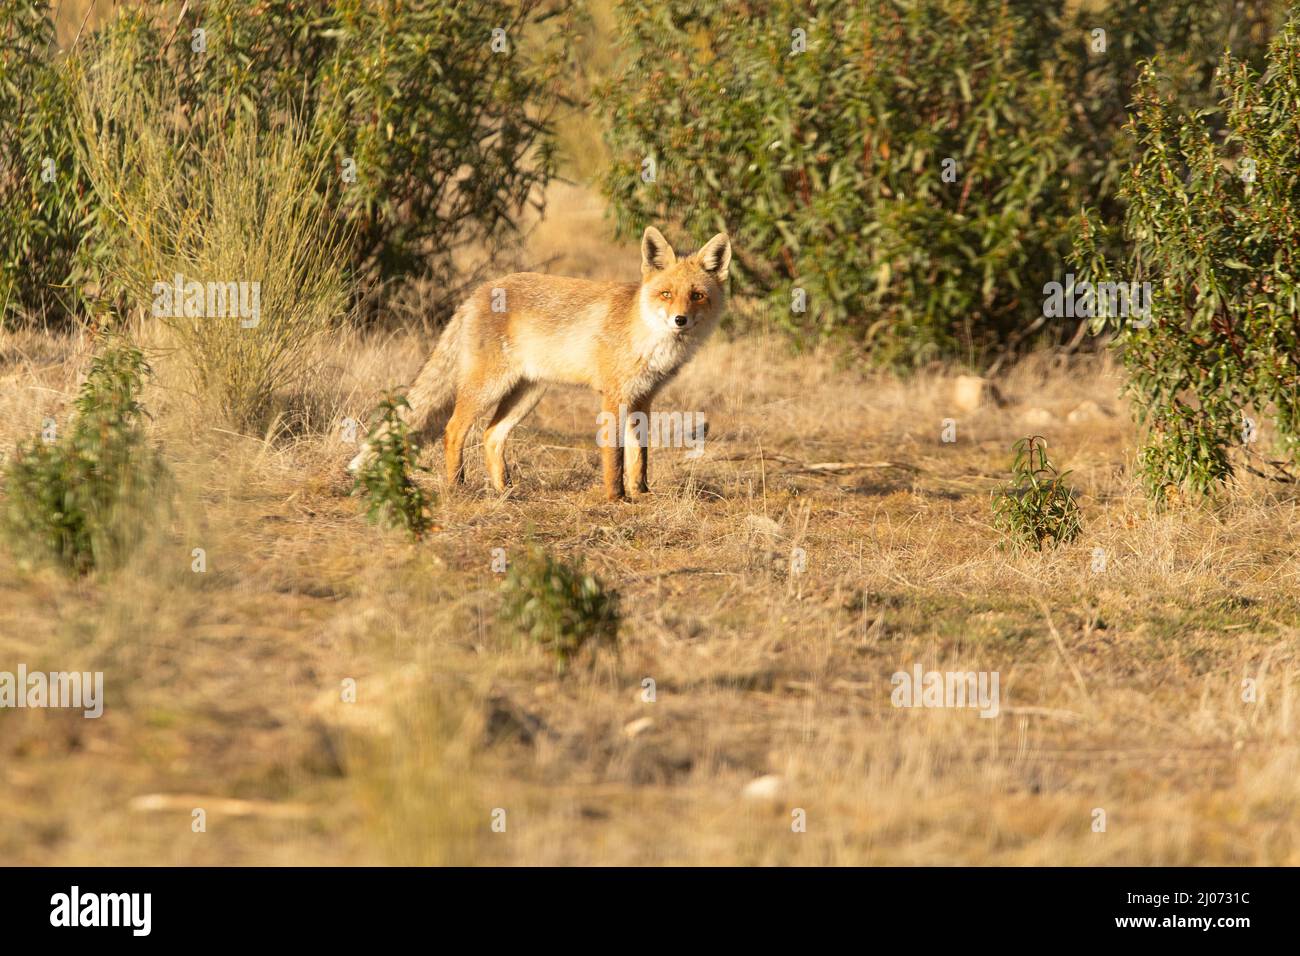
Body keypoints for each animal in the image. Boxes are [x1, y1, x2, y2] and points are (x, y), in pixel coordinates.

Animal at [349, 226, 731, 501]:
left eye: (697, 295)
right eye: (666, 294)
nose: (680, 320)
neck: (649, 340)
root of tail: (477, 292)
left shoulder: (643, 399)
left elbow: (640, 456)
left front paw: (642, 494)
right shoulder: (613, 397)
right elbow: (615, 457)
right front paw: (616, 499)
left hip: (527, 393)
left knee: (491, 435)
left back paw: (504, 491)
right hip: (487, 389)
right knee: (453, 429)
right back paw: (458, 486)